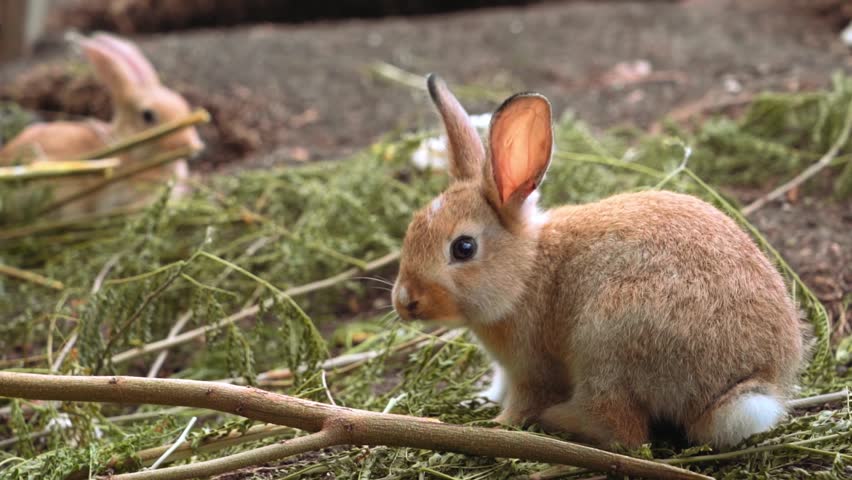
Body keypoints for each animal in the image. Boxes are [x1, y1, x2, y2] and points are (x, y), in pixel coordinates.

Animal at [392, 74, 805, 450]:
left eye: (463, 248)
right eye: (411, 228)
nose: (404, 301)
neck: (527, 272)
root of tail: (753, 380)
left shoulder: (532, 368)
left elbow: (525, 402)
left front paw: (495, 425)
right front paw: (479, 400)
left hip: (607, 341)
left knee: (624, 431)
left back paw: (560, 420)